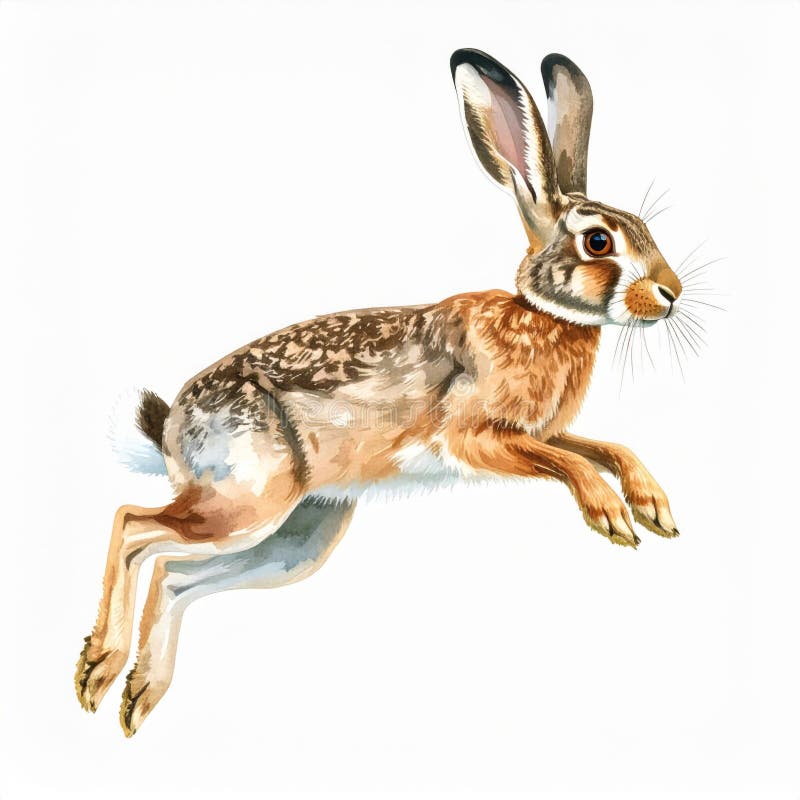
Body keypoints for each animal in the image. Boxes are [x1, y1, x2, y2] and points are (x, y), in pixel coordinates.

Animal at [76, 48, 685, 736]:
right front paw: (610, 515)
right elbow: (568, 461)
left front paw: (652, 505)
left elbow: (605, 447)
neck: (544, 317)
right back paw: (100, 666)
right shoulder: (475, 440)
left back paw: (139, 691)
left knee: (176, 575)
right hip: (247, 504)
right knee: (134, 527)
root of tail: (171, 432)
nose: (672, 293)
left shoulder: (543, 432)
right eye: (599, 242)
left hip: (296, 539)